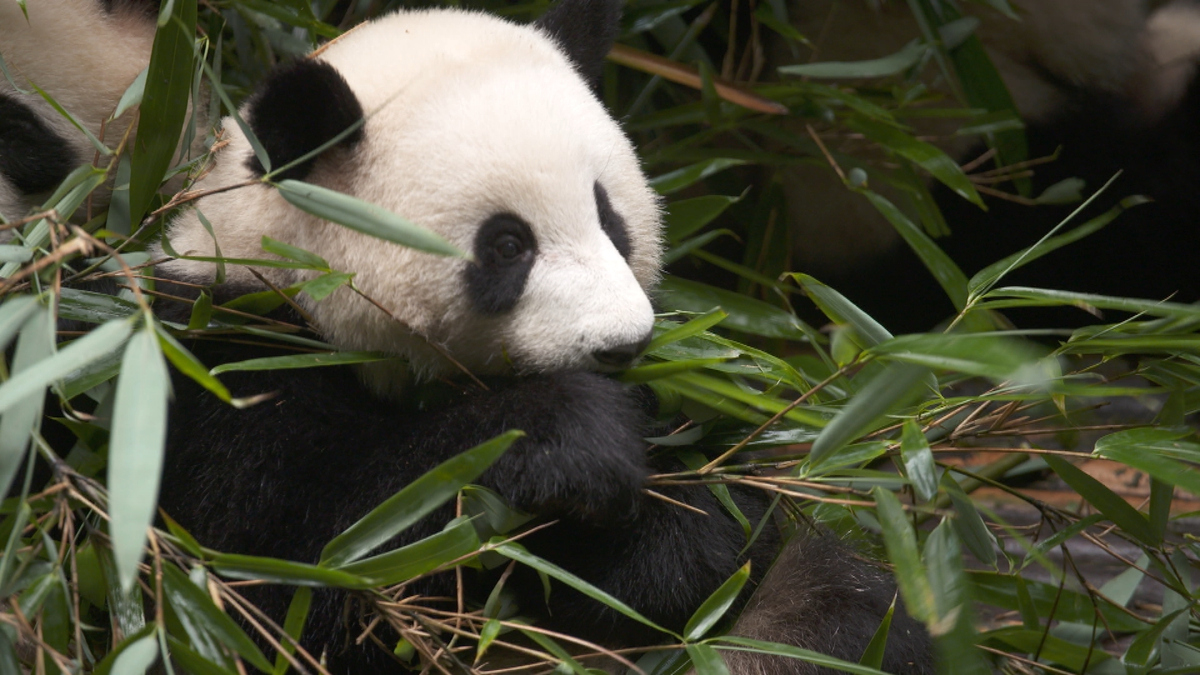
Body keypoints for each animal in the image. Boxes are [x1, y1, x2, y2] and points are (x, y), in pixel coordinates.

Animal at [147, 1, 934, 673]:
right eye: (507, 245)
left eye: (609, 217)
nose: (623, 344)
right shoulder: (221, 356)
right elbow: (309, 566)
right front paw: (573, 440)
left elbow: (719, 542)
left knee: (826, 611)